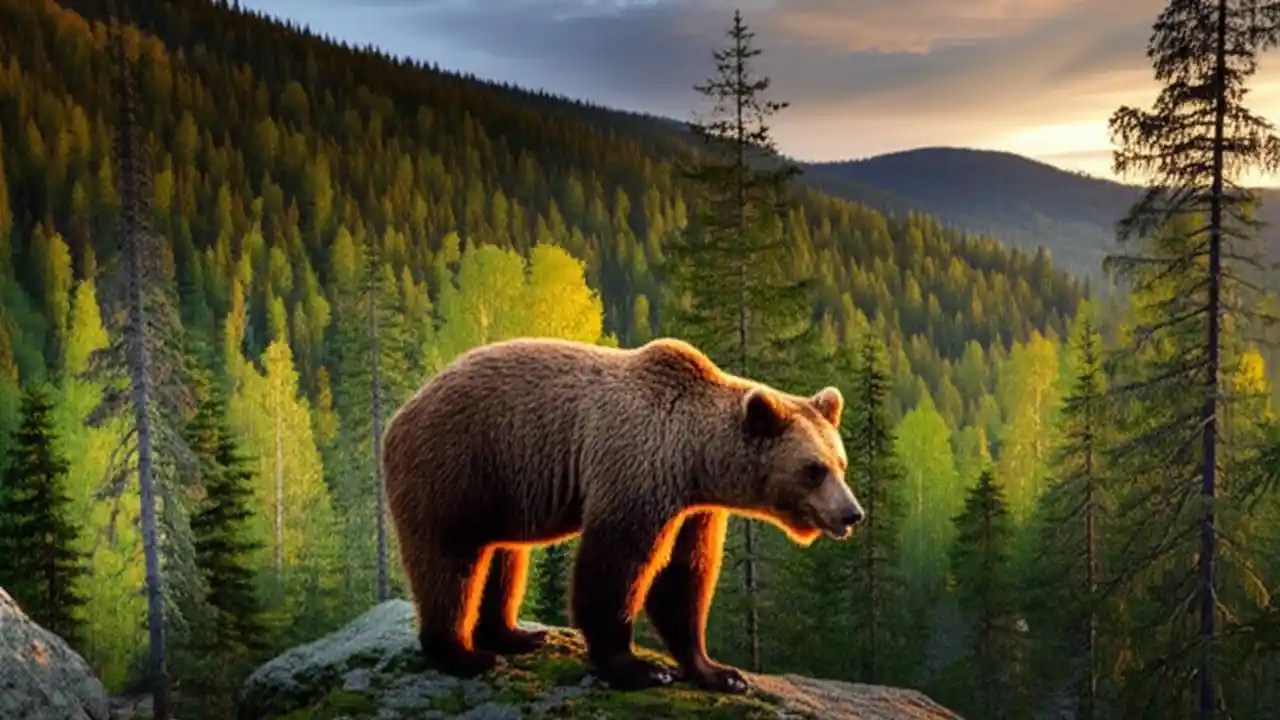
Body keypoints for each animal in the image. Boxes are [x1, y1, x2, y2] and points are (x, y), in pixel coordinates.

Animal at [382, 337, 864, 694]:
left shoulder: (695, 509)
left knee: (504, 558)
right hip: (457, 467)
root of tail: (400, 413)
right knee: (449, 561)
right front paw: (638, 667)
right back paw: (461, 653)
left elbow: (685, 577)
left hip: (502, 489)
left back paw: (514, 634)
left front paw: (719, 672)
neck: (695, 460)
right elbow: (618, 564)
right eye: (813, 469)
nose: (851, 513)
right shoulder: (637, 468)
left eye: (841, 462)